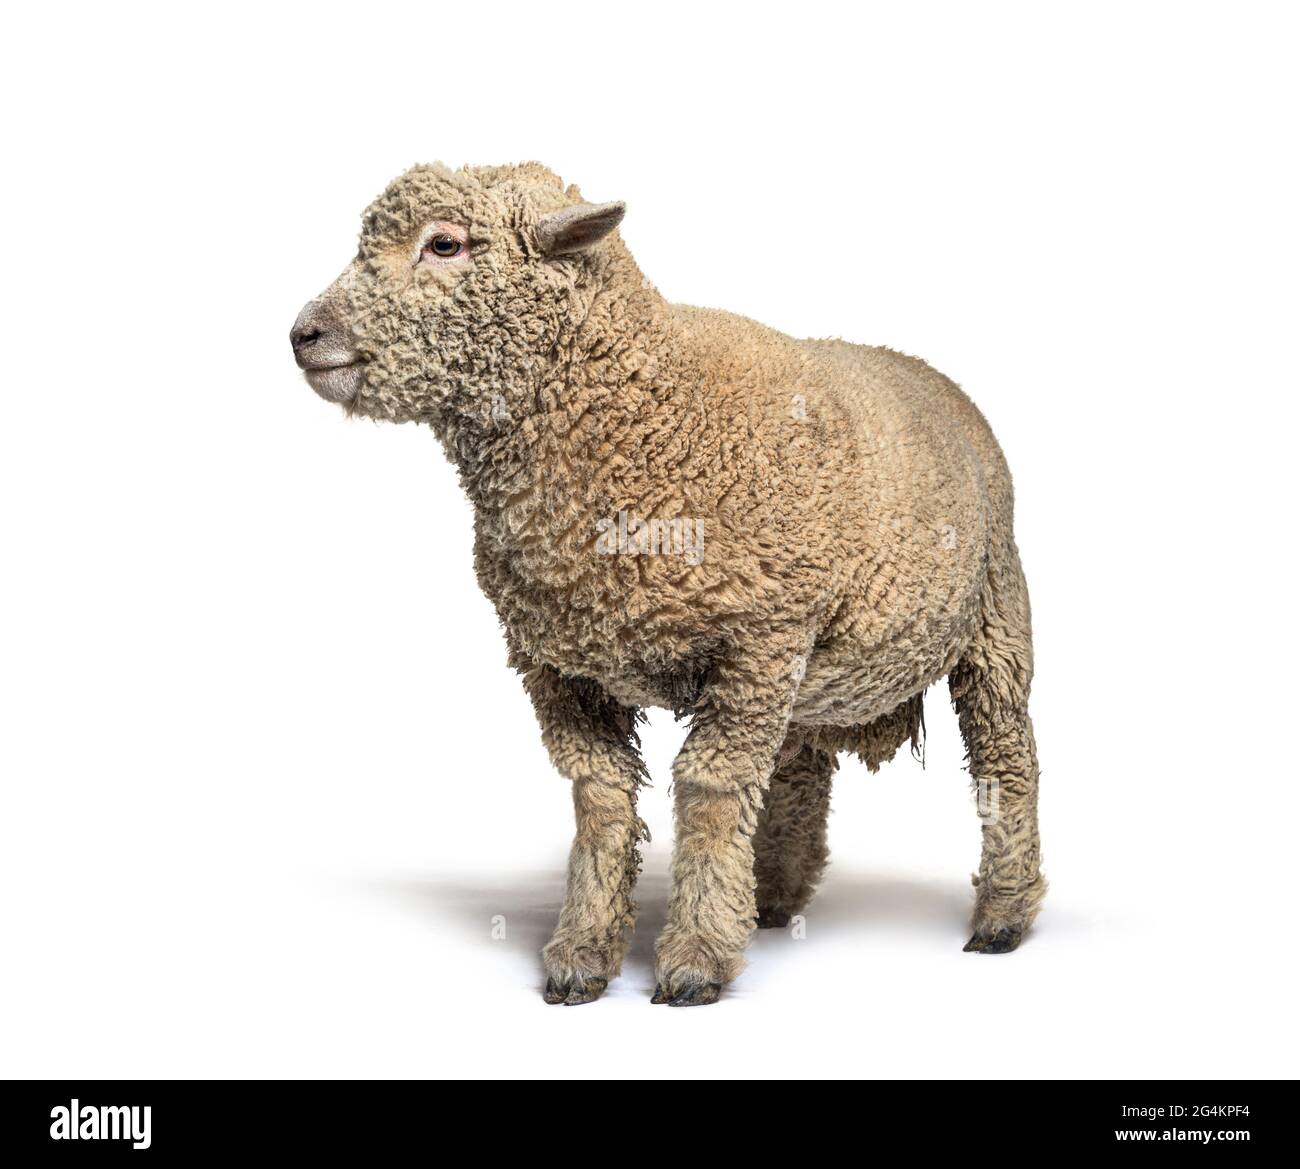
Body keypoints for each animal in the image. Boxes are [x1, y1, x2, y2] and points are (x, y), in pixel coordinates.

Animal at [290, 162, 1045, 1006]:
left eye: (445, 244)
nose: (302, 334)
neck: (642, 412)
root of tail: (927, 372)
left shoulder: (756, 640)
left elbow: (711, 787)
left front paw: (695, 960)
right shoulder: (558, 664)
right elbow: (599, 794)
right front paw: (582, 955)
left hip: (994, 615)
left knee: (1006, 761)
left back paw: (1003, 914)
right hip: (807, 665)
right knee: (798, 765)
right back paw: (772, 897)